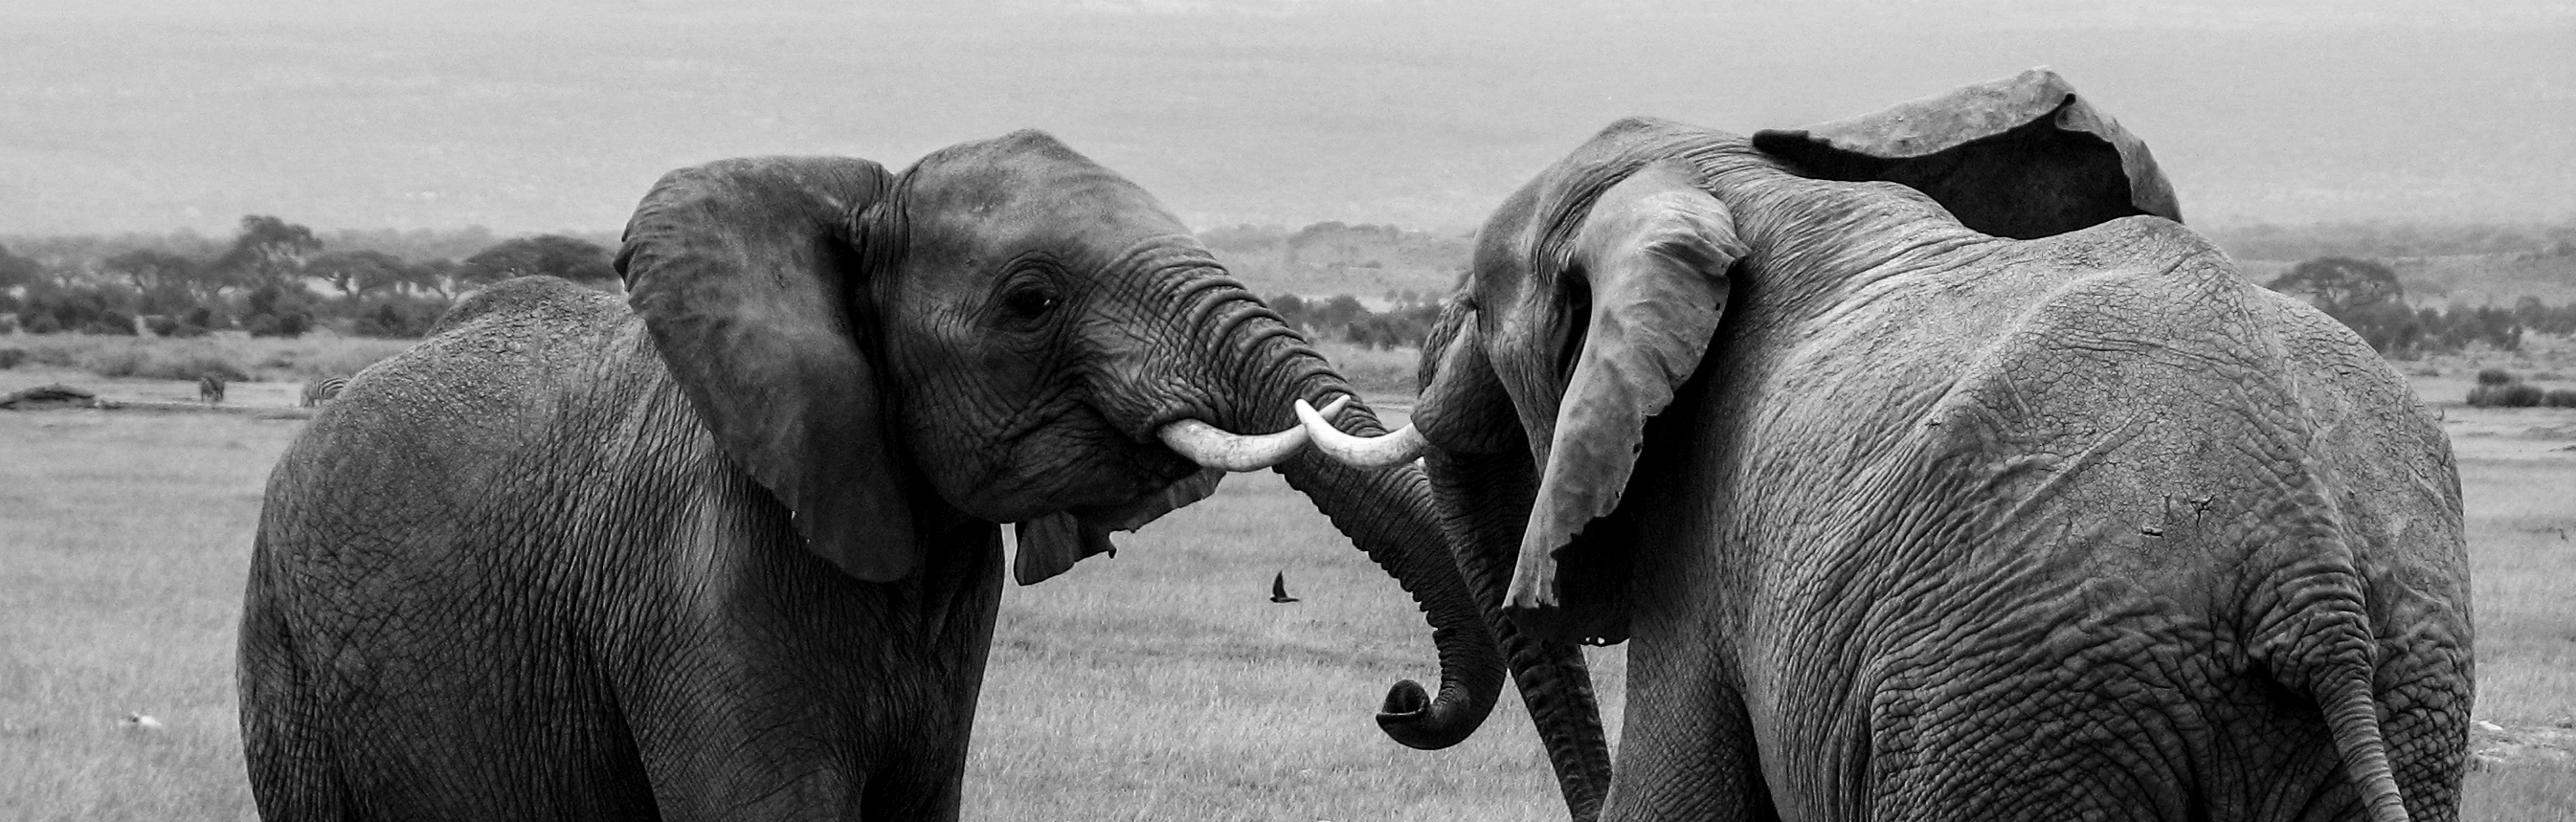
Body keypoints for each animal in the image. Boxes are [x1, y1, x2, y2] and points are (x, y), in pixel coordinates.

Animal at [1301, 69, 2472, 821]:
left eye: (1469, 301)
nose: (1400, 703)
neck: (1719, 172)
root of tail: (2307, 574)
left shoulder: (1704, 539)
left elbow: (1676, 796)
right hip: (2404, 675)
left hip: (2017, 694)